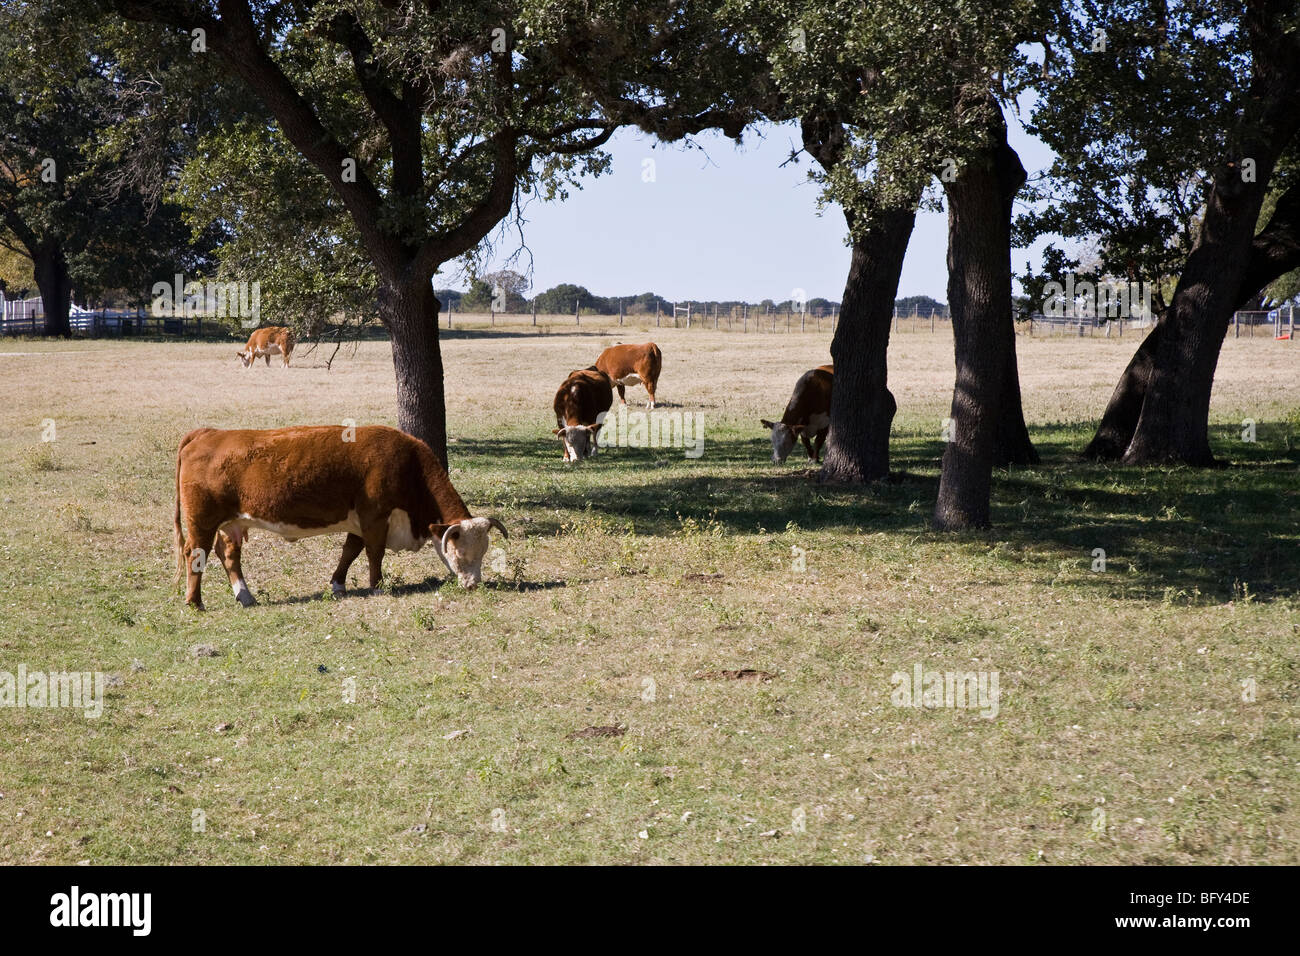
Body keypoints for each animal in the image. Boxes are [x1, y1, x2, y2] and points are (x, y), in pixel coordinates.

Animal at [173, 425, 507, 609]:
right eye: (460, 554)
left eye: (483, 552)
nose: (473, 584)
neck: (408, 464)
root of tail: (208, 434)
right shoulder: (375, 516)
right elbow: (374, 552)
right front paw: (377, 586)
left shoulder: (360, 521)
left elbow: (350, 550)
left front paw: (338, 585)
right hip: (203, 521)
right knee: (196, 553)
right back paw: (195, 602)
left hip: (231, 523)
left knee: (228, 554)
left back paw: (245, 596)